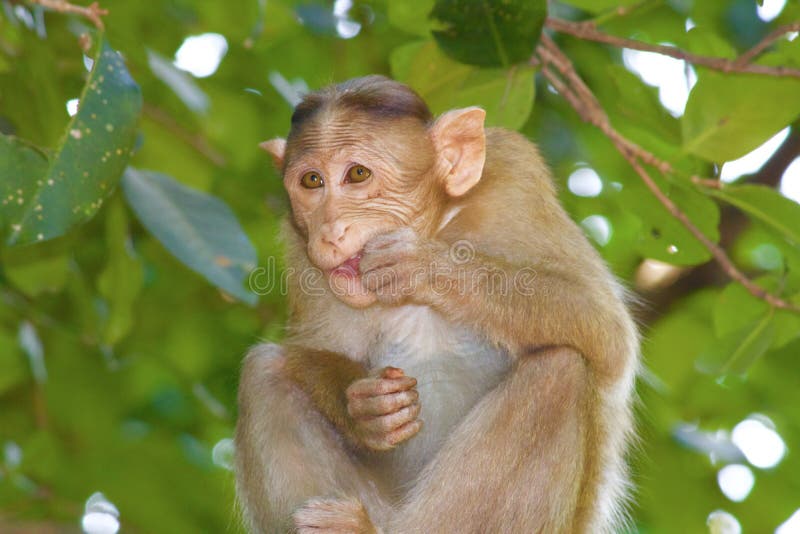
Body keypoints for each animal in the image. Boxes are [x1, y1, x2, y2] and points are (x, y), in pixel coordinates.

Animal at [235, 75, 639, 533]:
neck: (440, 222)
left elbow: (606, 331)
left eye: (357, 174)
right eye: (312, 182)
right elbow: (313, 352)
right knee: (265, 370)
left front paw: (425, 267)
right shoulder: (300, 249)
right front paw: (362, 408)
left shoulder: (514, 179)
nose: (330, 230)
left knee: (559, 371)